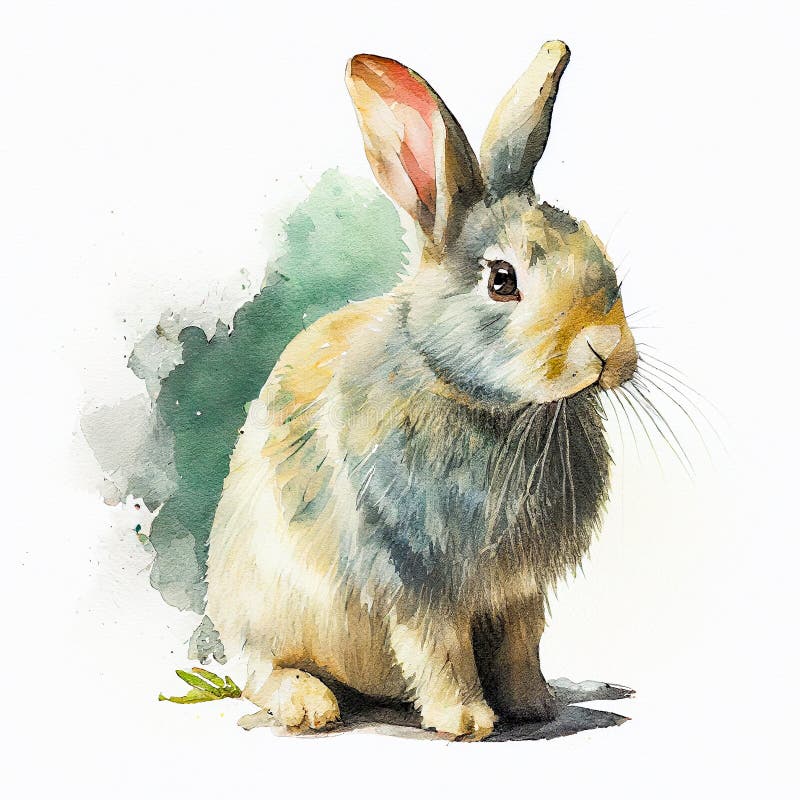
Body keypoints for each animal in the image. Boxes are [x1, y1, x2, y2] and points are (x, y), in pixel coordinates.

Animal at [206, 40, 638, 741]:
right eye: (501, 280)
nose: (608, 349)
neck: (482, 404)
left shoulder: (519, 591)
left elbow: (520, 644)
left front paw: (533, 704)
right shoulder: (415, 576)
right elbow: (439, 648)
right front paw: (466, 721)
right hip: (268, 604)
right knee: (259, 669)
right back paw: (308, 704)